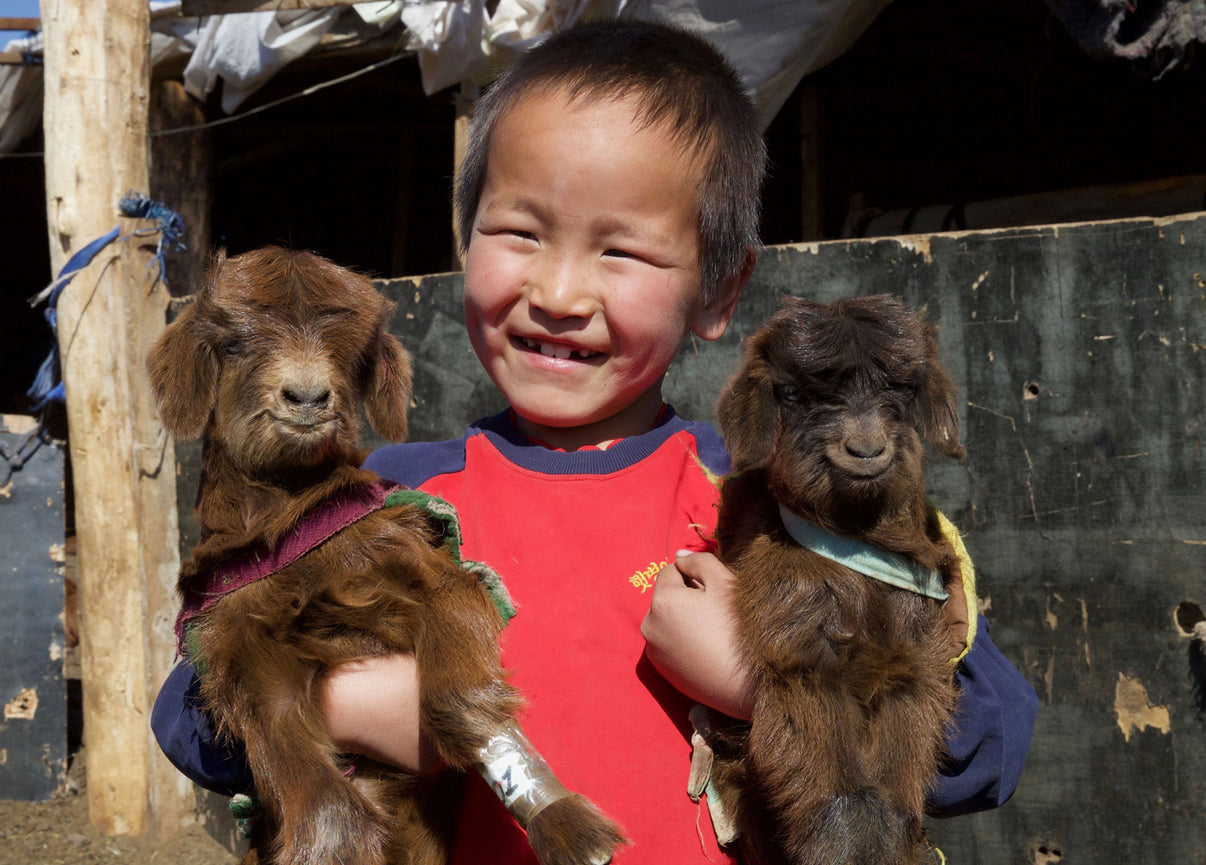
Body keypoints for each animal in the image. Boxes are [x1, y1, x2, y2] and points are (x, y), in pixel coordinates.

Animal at [147, 246, 624, 865]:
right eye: (232, 345)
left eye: (353, 354)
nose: (307, 396)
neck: (288, 524)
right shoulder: (235, 640)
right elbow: (288, 744)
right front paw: (330, 845)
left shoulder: (420, 564)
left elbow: (455, 686)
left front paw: (566, 823)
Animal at [703, 294, 967, 865]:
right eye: (793, 393)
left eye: (903, 388)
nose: (865, 449)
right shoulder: (798, 640)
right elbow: (829, 765)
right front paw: (848, 847)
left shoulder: (915, 657)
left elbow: (901, 759)